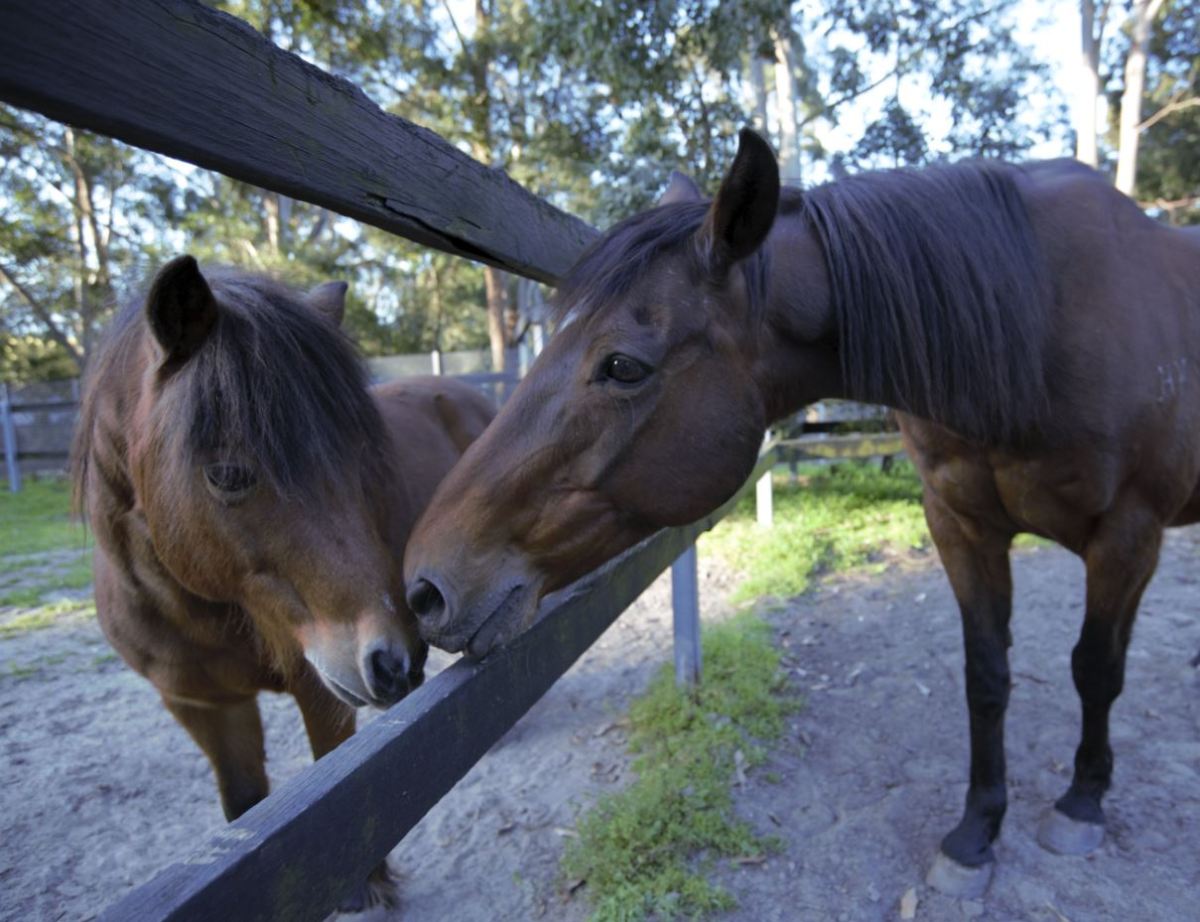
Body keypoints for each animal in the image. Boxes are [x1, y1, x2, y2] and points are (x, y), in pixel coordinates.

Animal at [72, 256, 494, 911]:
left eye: (361, 455)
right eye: (227, 474)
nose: (394, 661)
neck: (208, 614)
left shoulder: (322, 688)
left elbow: (344, 783)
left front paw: (364, 884)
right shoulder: (204, 708)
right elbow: (247, 807)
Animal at [402, 129, 1200, 896]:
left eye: (623, 365)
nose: (424, 586)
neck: (1042, 329)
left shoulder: (1128, 536)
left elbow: (1096, 667)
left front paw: (1082, 802)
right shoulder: (961, 525)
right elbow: (987, 676)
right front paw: (975, 835)